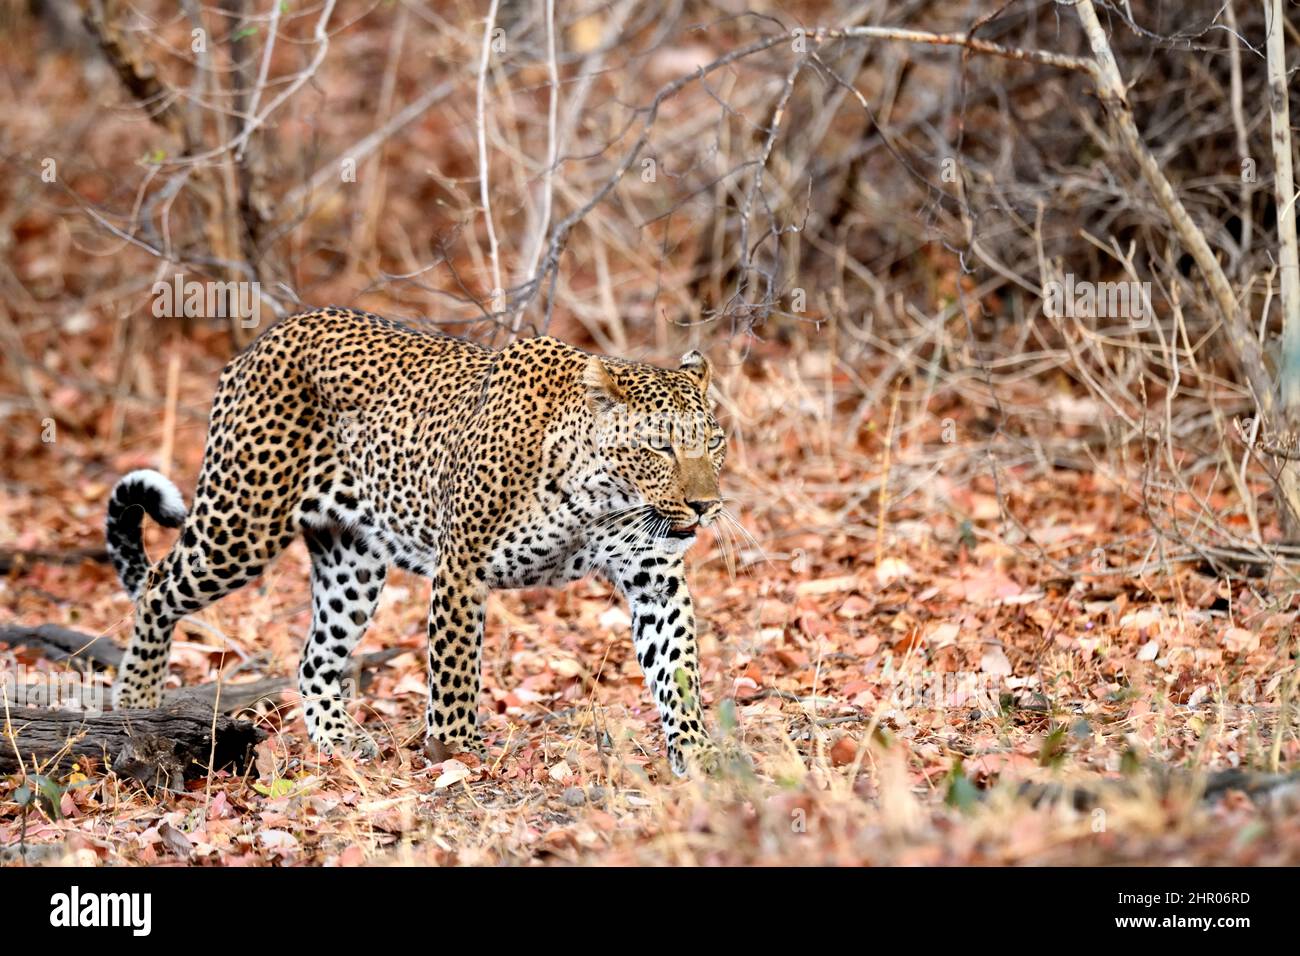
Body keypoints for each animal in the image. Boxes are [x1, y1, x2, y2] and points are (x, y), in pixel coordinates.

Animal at [105, 306, 731, 775]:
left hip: (350, 564)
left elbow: (677, 666)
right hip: (240, 524)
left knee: (314, 658)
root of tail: (260, 342)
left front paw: (697, 751)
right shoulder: (462, 568)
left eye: (714, 442)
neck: (597, 497)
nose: (706, 505)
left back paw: (338, 740)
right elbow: (454, 674)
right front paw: (458, 756)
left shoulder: (653, 576)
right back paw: (136, 712)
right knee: (156, 590)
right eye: (658, 445)